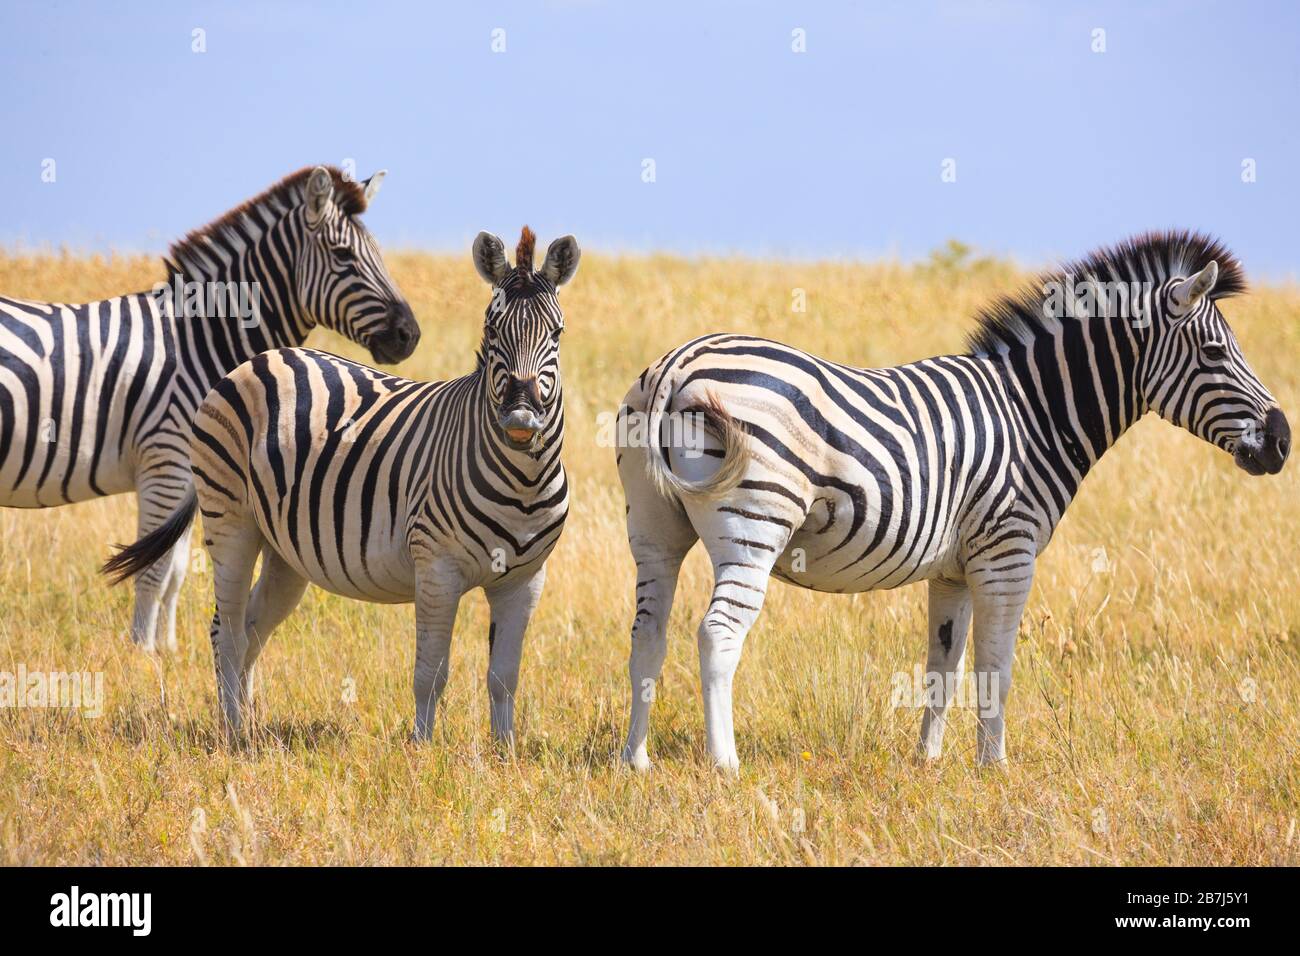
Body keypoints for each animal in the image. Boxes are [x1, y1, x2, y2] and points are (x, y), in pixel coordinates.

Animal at [1, 165, 419, 653]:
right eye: (343, 255)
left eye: (379, 253)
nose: (410, 335)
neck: (200, 337)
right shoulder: (165, 462)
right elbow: (155, 569)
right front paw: (142, 654)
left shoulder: (190, 474)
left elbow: (176, 570)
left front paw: (167, 650)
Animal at [102, 227, 579, 743]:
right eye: (491, 331)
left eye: (557, 333)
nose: (521, 419)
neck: (521, 484)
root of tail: (257, 358)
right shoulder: (436, 568)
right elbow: (430, 673)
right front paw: (423, 750)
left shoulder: (526, 580)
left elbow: (504, 677)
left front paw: (503, 752)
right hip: (230, 519)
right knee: (225, 630)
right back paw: (233, 733)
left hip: (285, 550)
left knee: (250, 628)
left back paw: (251, 726)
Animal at [614, 231, 1290, 771]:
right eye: (1215, 353)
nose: (1283, 441)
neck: (1033, 413)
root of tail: (677, 364)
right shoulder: (1007, 554)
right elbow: (996, 666)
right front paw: (995, 768)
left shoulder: (953, 570)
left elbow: (944, 665)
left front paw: (929, 762)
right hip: (755, 523)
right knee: (717, 634)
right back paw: (724, 766)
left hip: (653, 530)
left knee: (648, 635)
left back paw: (635, 760)